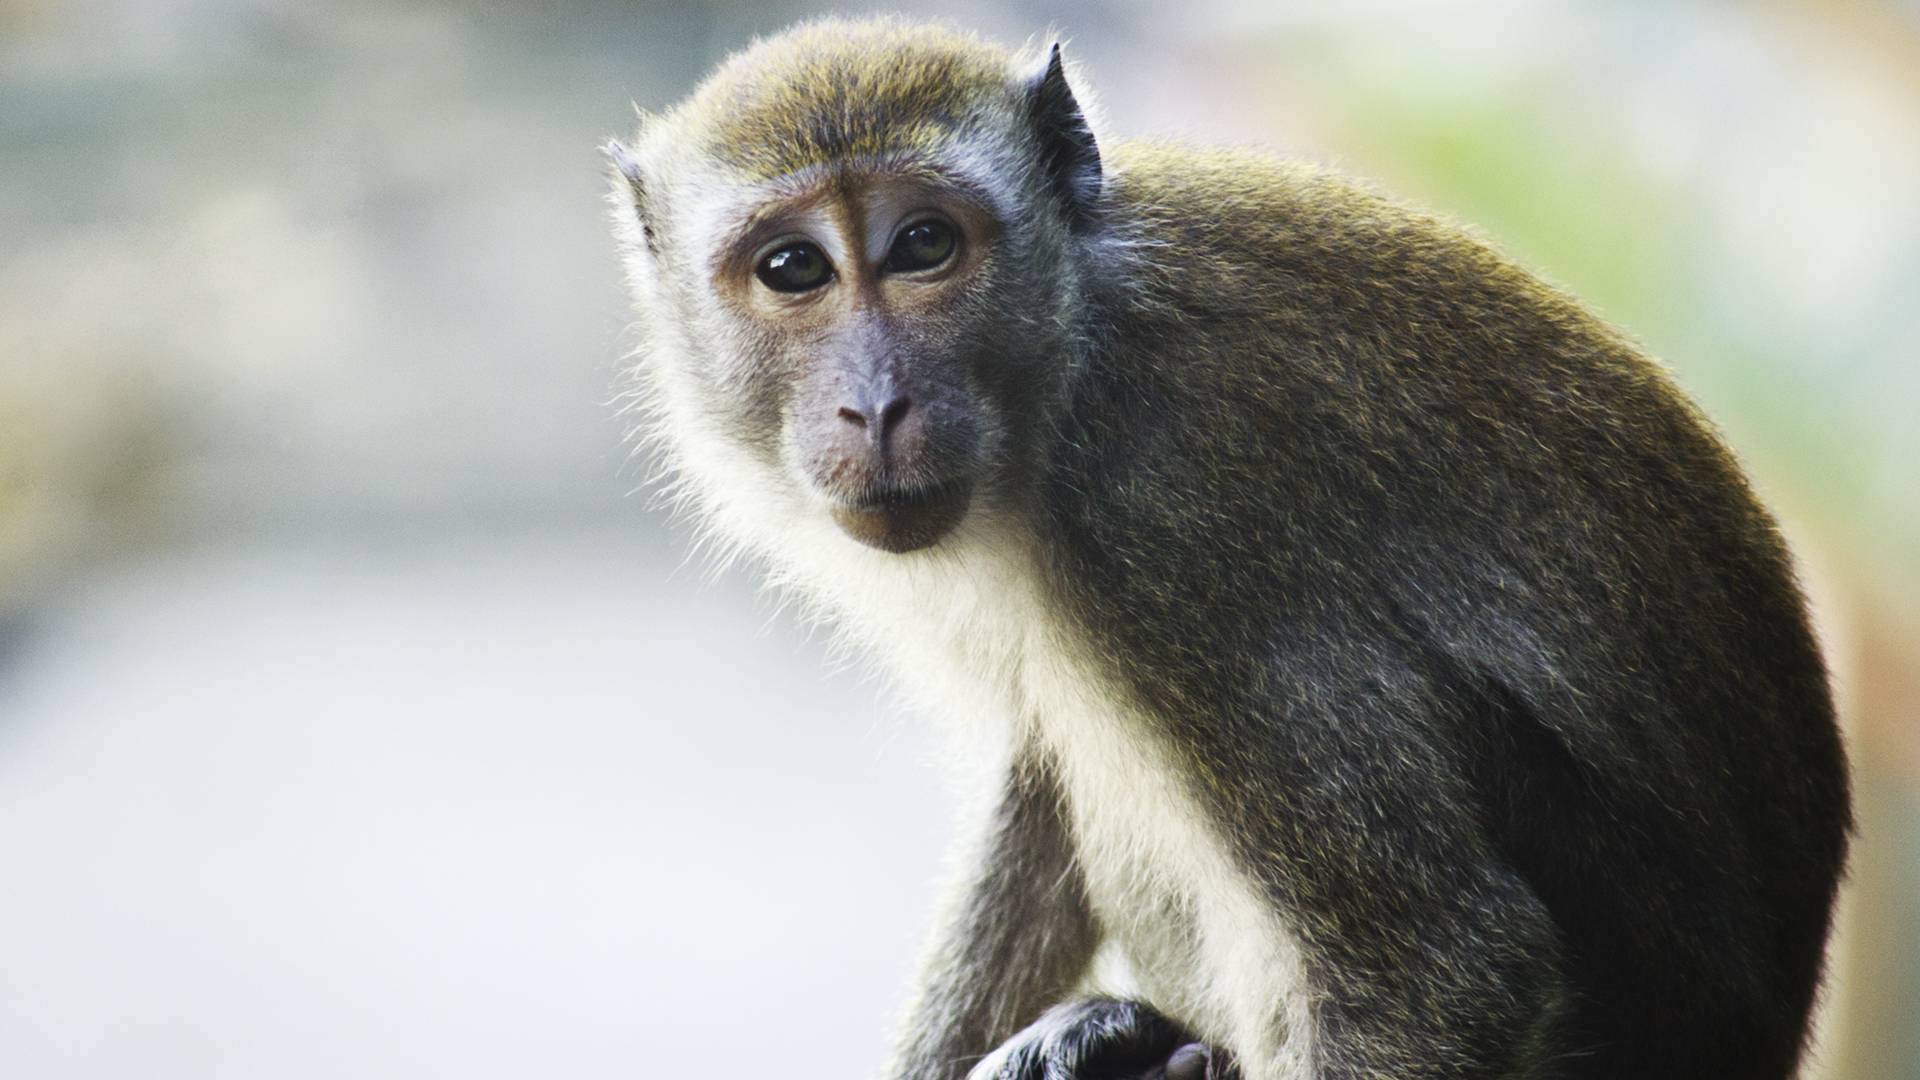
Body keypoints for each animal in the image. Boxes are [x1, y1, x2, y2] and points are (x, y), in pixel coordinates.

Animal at [604, 18, 1851, 1080]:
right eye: (793, 270)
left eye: (922, 246)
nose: (875, 404)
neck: (1070, 362)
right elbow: (1042, 778)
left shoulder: (1173, 521)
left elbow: (1437, 968)